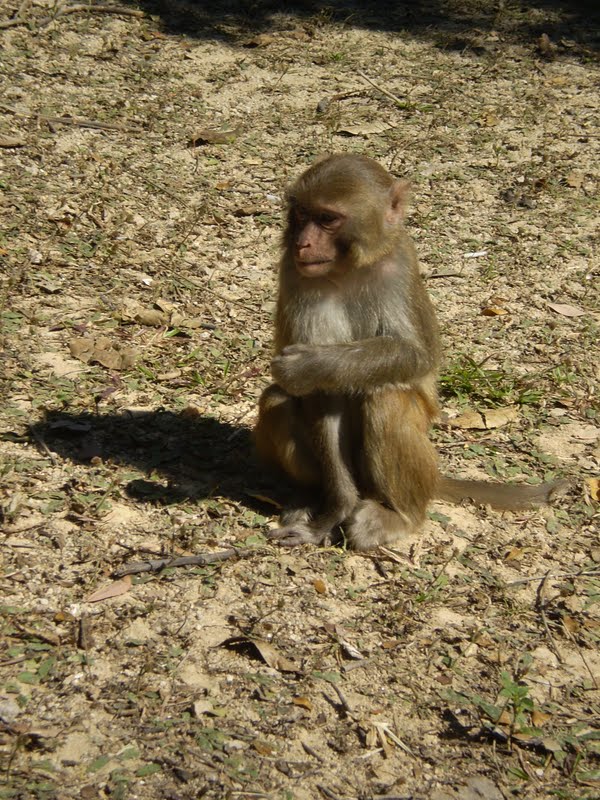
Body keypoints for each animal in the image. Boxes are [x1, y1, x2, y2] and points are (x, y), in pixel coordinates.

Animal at [254, 153, 563, 550]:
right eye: (300, 214)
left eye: (326, 219)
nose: (303, 244)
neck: (350, 267)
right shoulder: (297, 276)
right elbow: (322, 398)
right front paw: (334, 511)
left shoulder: (399, 266)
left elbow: (416, 355)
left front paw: (310, 364)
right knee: (277, 400)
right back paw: (311, 498)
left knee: (388, 399)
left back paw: (401, 517)